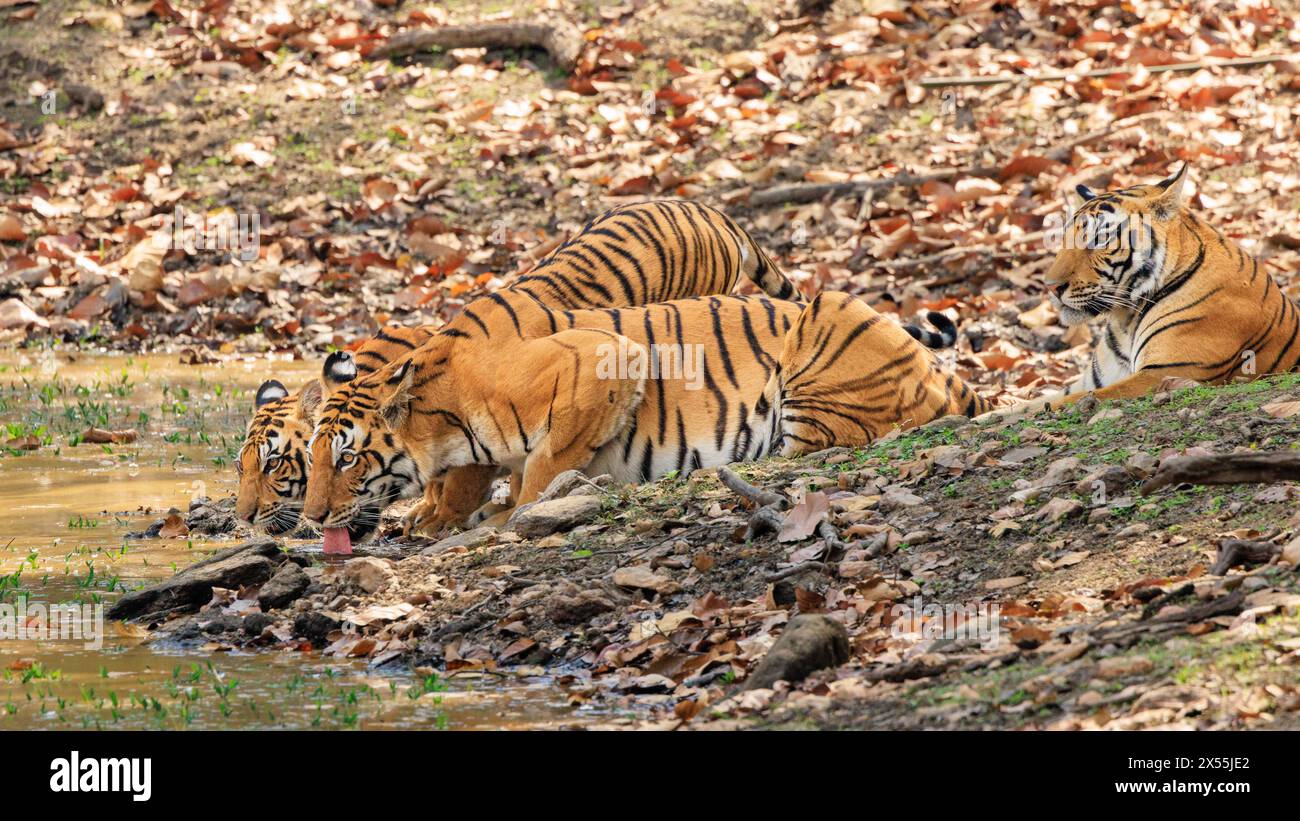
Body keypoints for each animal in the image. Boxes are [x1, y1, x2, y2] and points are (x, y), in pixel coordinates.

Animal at [236, 199, 799, 538]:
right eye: (240, 467)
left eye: (274, 463)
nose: (244, 517)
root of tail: (707, 208)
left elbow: (474, 478)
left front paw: (440, 518)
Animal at [299, 293, 969, 548]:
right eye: (311, 458)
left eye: (348, 458)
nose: (309, 519)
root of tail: (942, 374)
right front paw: (446, 513)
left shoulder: (602, 359)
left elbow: (545, 462)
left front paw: (511, 513)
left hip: (824, 338)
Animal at [1014, 163, 1300, 414]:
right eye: (1064, 239)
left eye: (1099, 239)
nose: (1051, 287)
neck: (1125, 320)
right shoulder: (1094, 379)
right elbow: (1024, 405)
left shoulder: (1167, 371)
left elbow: (1059, 403)